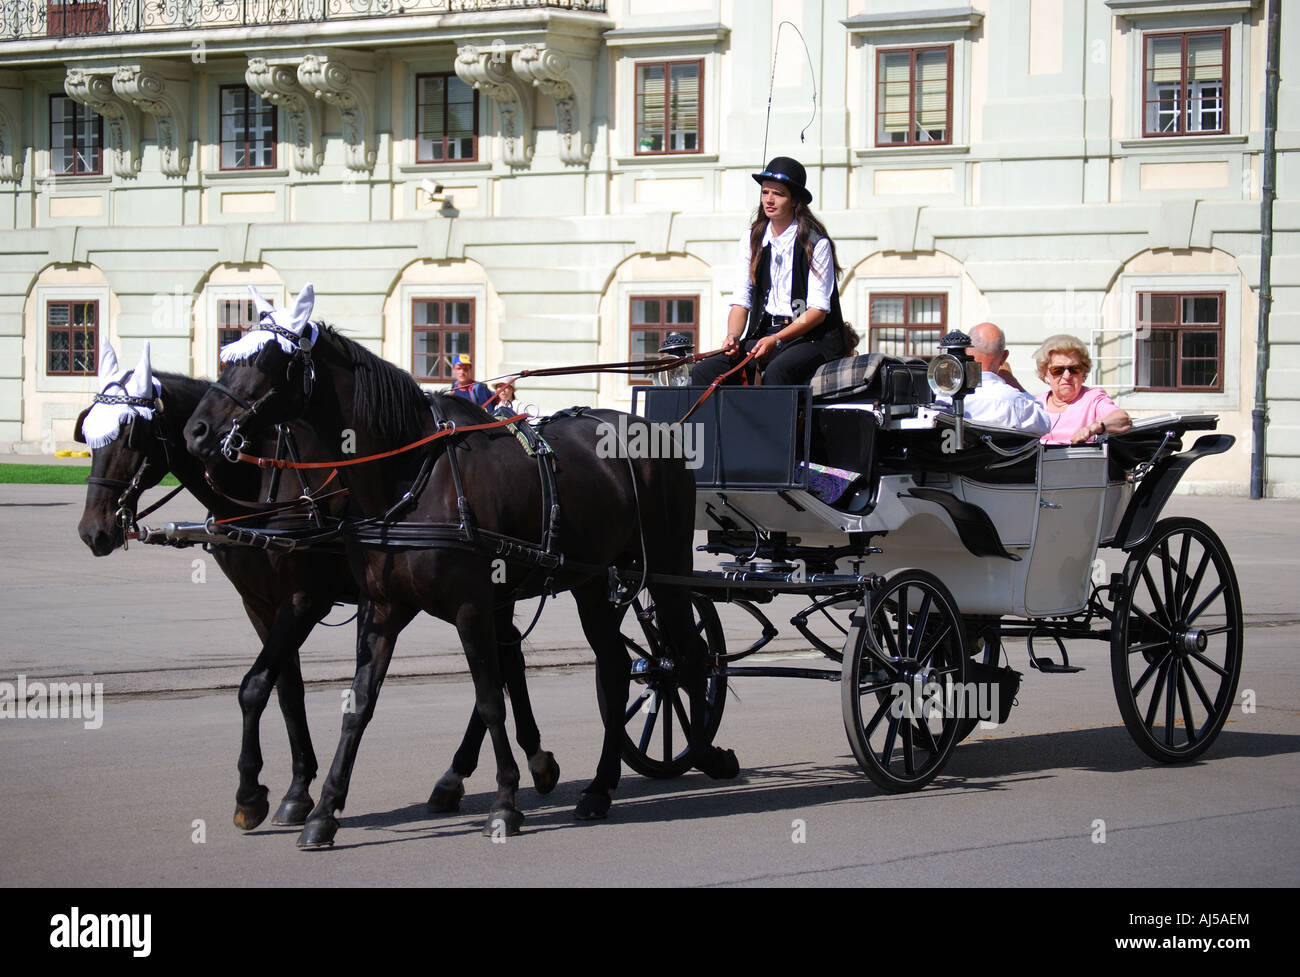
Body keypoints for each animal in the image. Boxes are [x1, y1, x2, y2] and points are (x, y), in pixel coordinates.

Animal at [76, 340, 558, 835]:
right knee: (508, 661)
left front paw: (252, 793)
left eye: (130, 434)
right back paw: (501, 766)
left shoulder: (305, 600)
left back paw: (492, 769)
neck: (265, 487)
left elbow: (255, 686)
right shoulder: (259, 604)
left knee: (501, 666)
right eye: (88, 436)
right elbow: (286, 690)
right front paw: (297, 788)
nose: (93, 531)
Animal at [183, 284, 738, 846]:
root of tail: (654, 431)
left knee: (687, 657)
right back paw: (600, 788)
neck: (411, 477)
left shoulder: (466, 605)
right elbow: (357, 702)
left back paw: (703, 753)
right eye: (228, 353)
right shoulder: (380, 608)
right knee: (618, 667)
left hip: (665, 569)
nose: (197, 431)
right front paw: (323, 809)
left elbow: (491, 697)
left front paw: (505, 802)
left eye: (266, 360)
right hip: (592, 582)